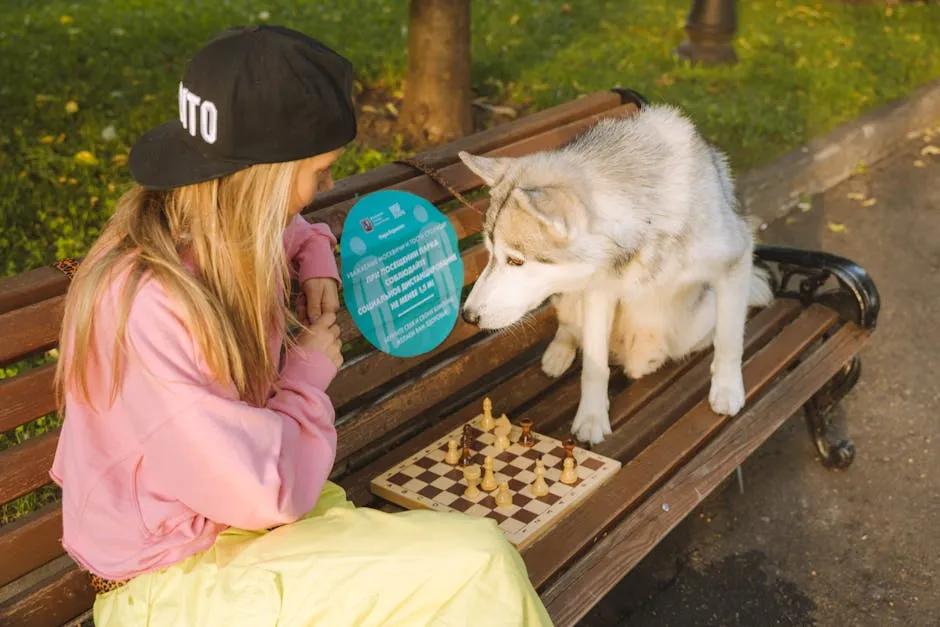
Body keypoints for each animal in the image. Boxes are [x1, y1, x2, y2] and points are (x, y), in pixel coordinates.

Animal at [458, 105, 776, 444]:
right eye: (490, 253)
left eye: (516, 261)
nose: (468, 316)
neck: (648, 220)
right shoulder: (599, 291)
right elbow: (594, 367)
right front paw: (592, 417)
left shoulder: (736, 260)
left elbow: (729, 340)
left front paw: (727, 389)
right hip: (573, 297)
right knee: (570, 327)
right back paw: (560, 352)